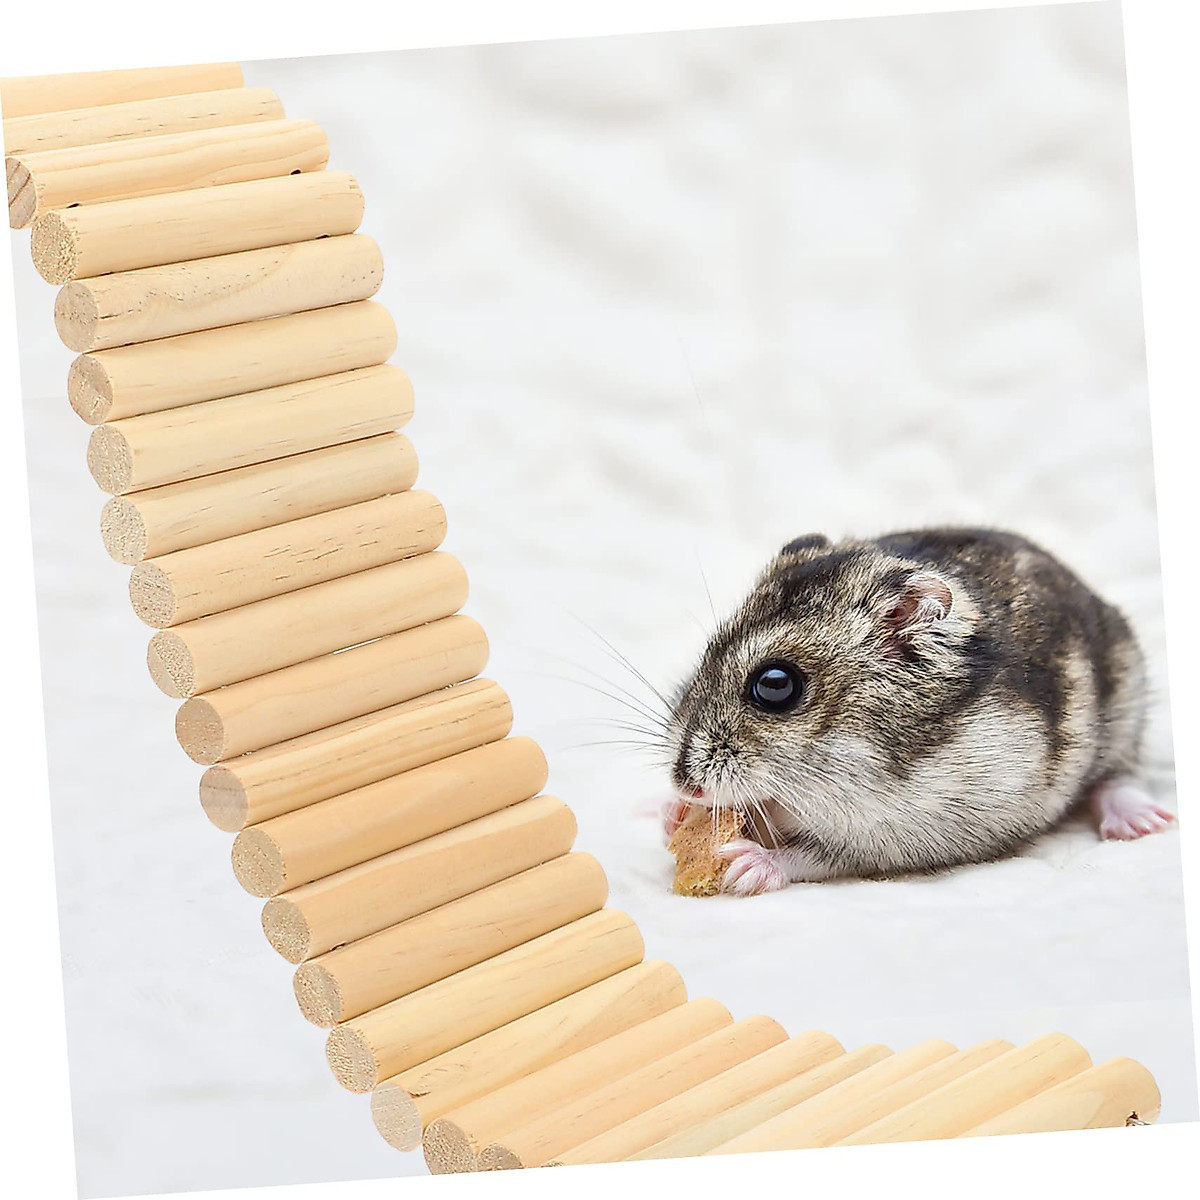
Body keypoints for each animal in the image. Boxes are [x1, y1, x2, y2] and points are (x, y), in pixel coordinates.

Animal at [663, 527, 1174, 896]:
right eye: (705, 654)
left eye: (776, 685)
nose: (683, 784)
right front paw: (673, 813)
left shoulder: (906, 833)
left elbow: (814, 855)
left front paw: (744, 864)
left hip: (1127, 705)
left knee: (1119, 774)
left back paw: (1142, 822)